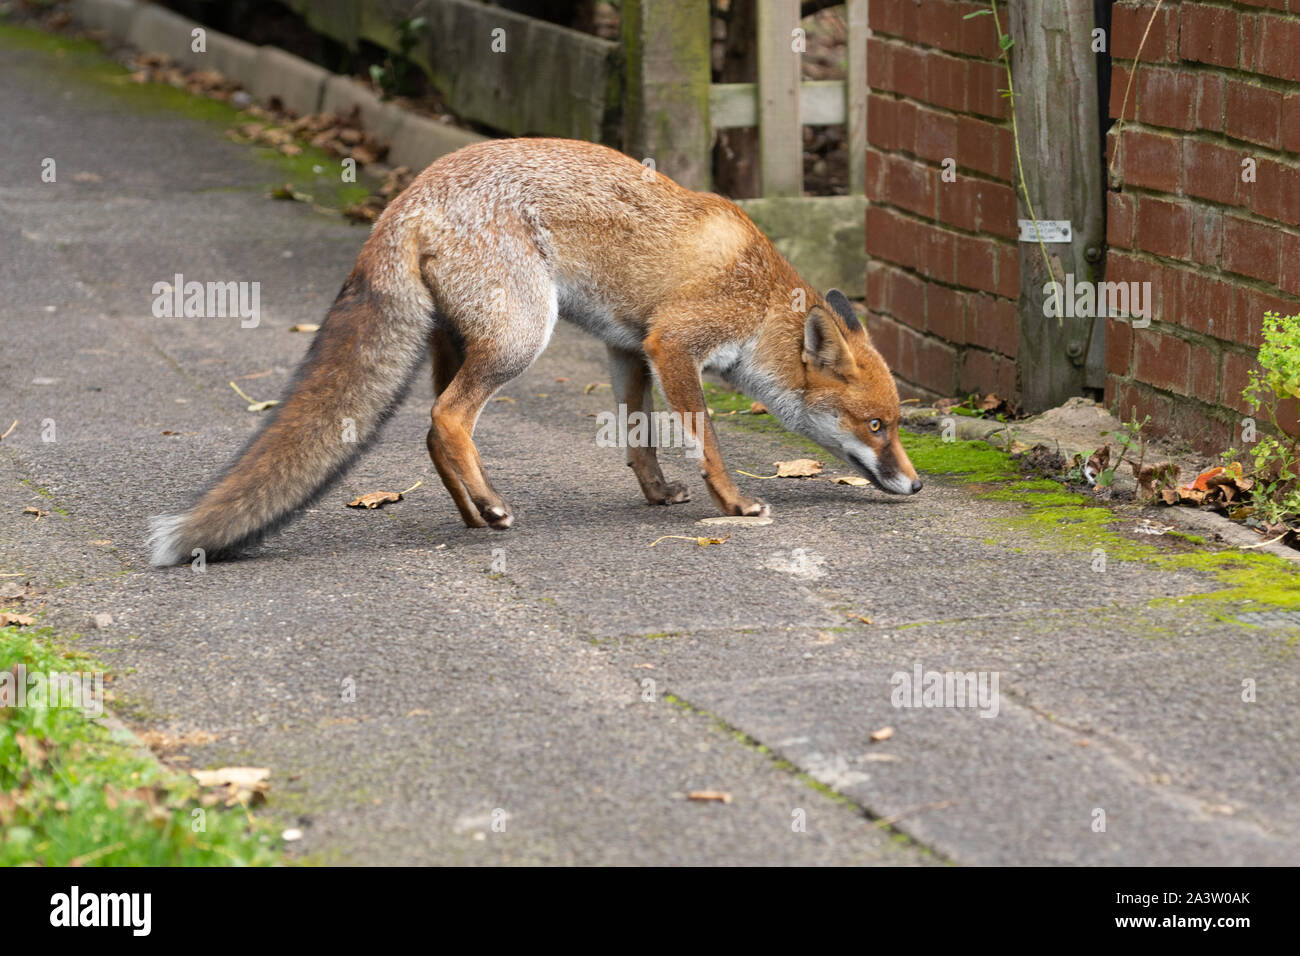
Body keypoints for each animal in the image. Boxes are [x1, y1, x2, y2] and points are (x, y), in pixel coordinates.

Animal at [148, 137, 921, 566]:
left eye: (897, 425)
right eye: (876, 425)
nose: (916, 486)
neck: (760, 301)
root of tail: (407, 197)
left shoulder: (628, 349)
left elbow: (639, 438)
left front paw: (658, 494)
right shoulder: (674, 342)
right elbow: (706, 441)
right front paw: (732, 503)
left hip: (461, 341)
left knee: (432, 428)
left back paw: (471, 514)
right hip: (521, 336)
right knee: (449, 419)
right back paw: (491, 507)